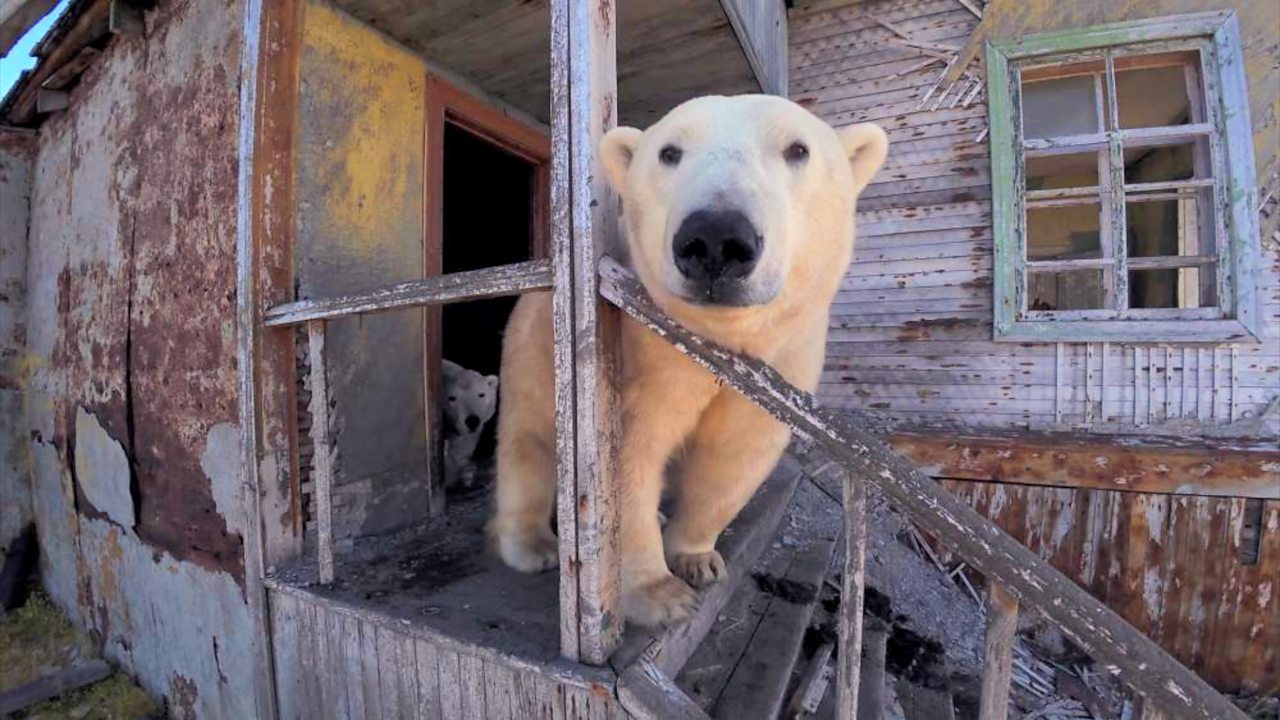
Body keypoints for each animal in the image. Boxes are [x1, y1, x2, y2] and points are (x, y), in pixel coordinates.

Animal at [490, 94, 888, 627]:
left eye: (798, 149)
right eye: (669, 152)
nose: (717, 238)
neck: (716, 339)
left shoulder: (782, 361)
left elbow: (734, 455)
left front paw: (697, 560)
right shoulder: (642, 359)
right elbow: (627, 458)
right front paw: (661, 594)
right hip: (530, 352)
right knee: (526, 444)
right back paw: (533, 546)